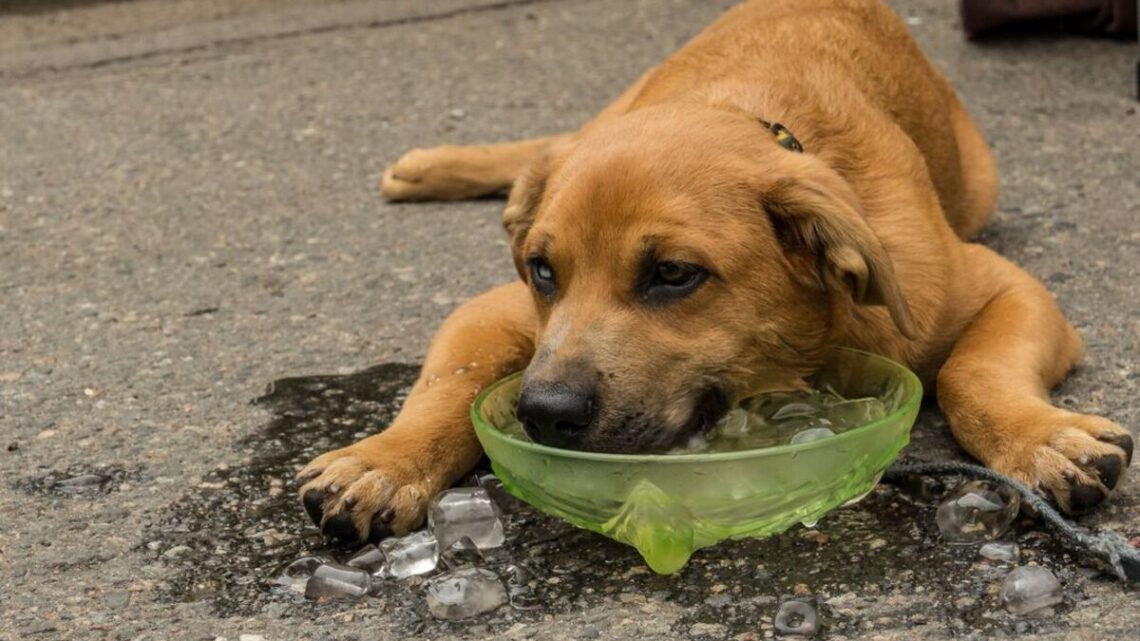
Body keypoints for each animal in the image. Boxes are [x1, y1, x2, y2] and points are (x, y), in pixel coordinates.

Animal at [294, 0, 1130, 542]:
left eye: (673, 274)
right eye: (542, 271)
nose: (544, 414)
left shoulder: (1000, 287)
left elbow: (973, 371)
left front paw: (1039, 439)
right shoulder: (492, 310)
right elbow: (446, 385)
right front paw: (383, 461)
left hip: (979, 180)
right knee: (554, 143)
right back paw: (432, 166)